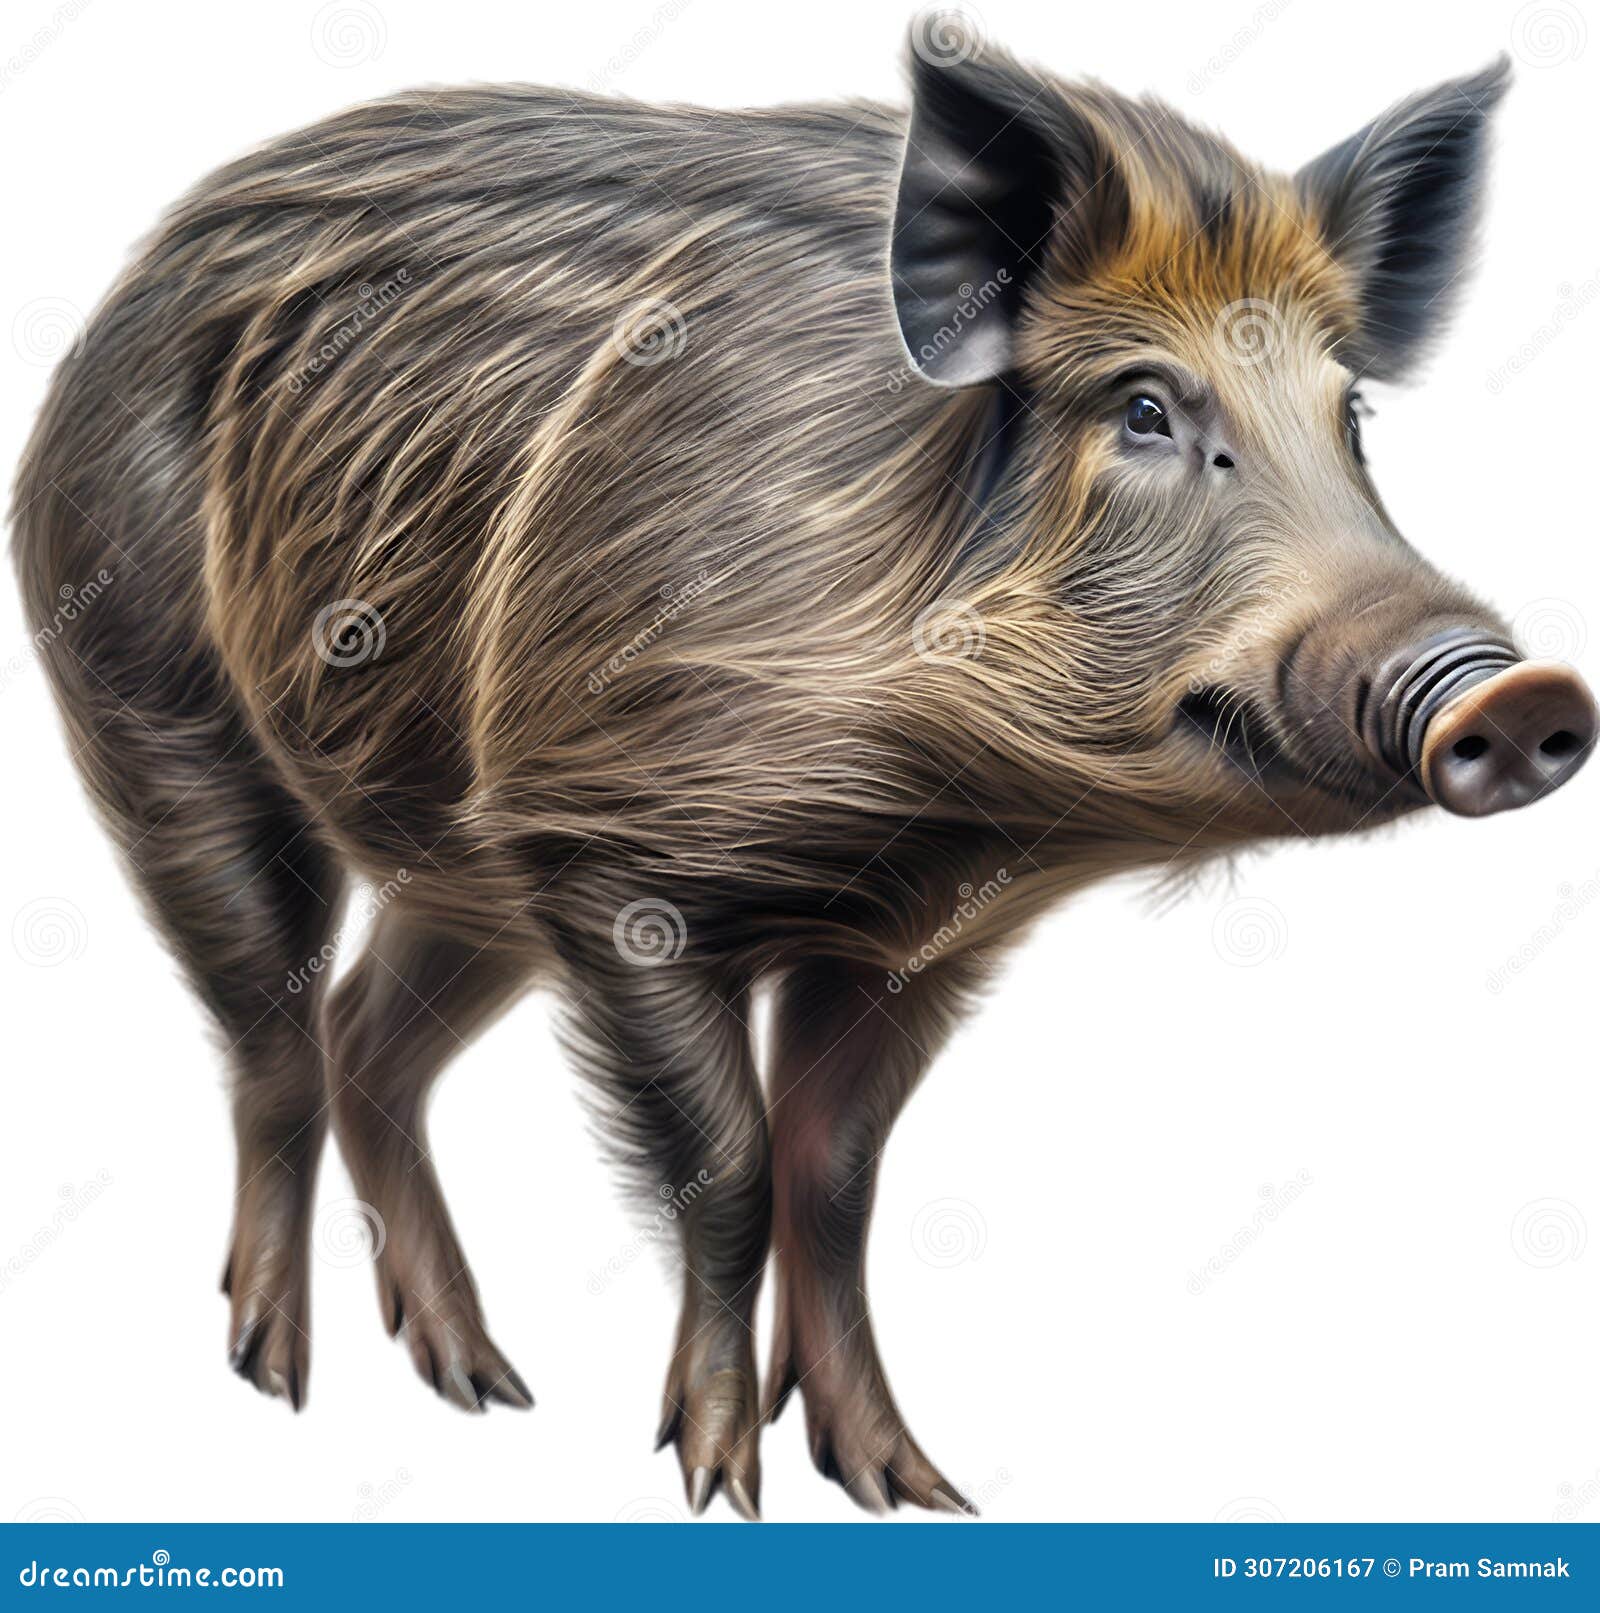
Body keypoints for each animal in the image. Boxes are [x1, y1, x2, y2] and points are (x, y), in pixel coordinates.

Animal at [12, 20, 1595, 1520]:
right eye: (1145, 407)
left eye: (1352, 417)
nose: (1518, 686)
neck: (941, 812)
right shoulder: (609, 860)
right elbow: (728, 1170)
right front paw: (720, 1485)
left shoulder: (898, 937)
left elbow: (834, 1181)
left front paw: (913, 1489)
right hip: (156, 710)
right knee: (270, 1038)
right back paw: (275, 1375)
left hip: (460, 860)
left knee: (365, 1040)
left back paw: (483, 1385)